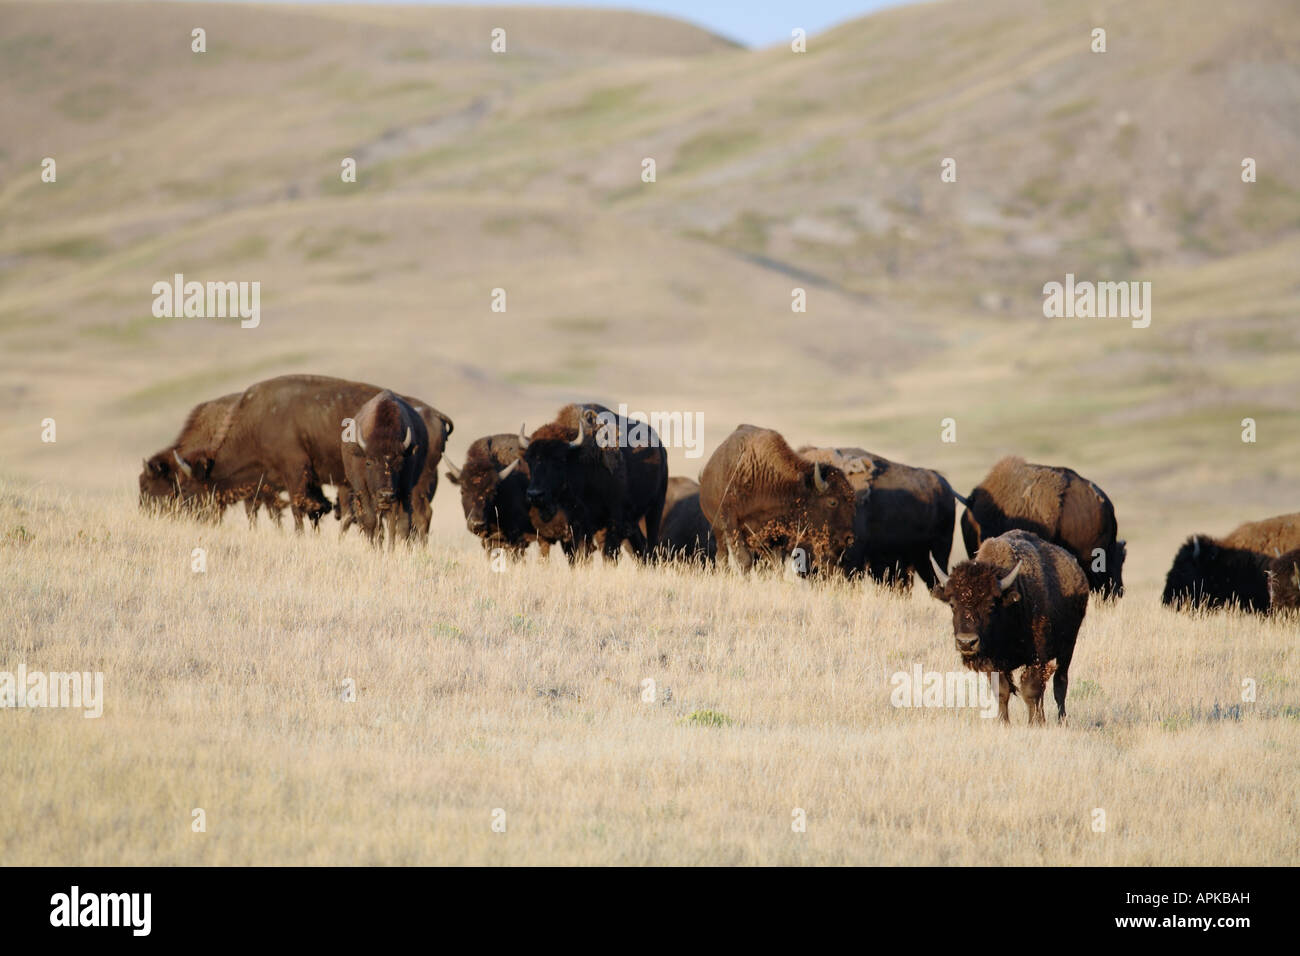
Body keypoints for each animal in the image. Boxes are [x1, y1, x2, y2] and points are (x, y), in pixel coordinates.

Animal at [929, 529, 1088, 724]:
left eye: (990, 605)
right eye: (952, 604)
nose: (966, 642)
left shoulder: (1037, 658)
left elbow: (1031, 691)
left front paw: (1034, 724)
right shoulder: (993, 662)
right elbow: (1002, 691)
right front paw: (1003, 722)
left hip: (1068, 647)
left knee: (1060, 684)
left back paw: (1061, 721)